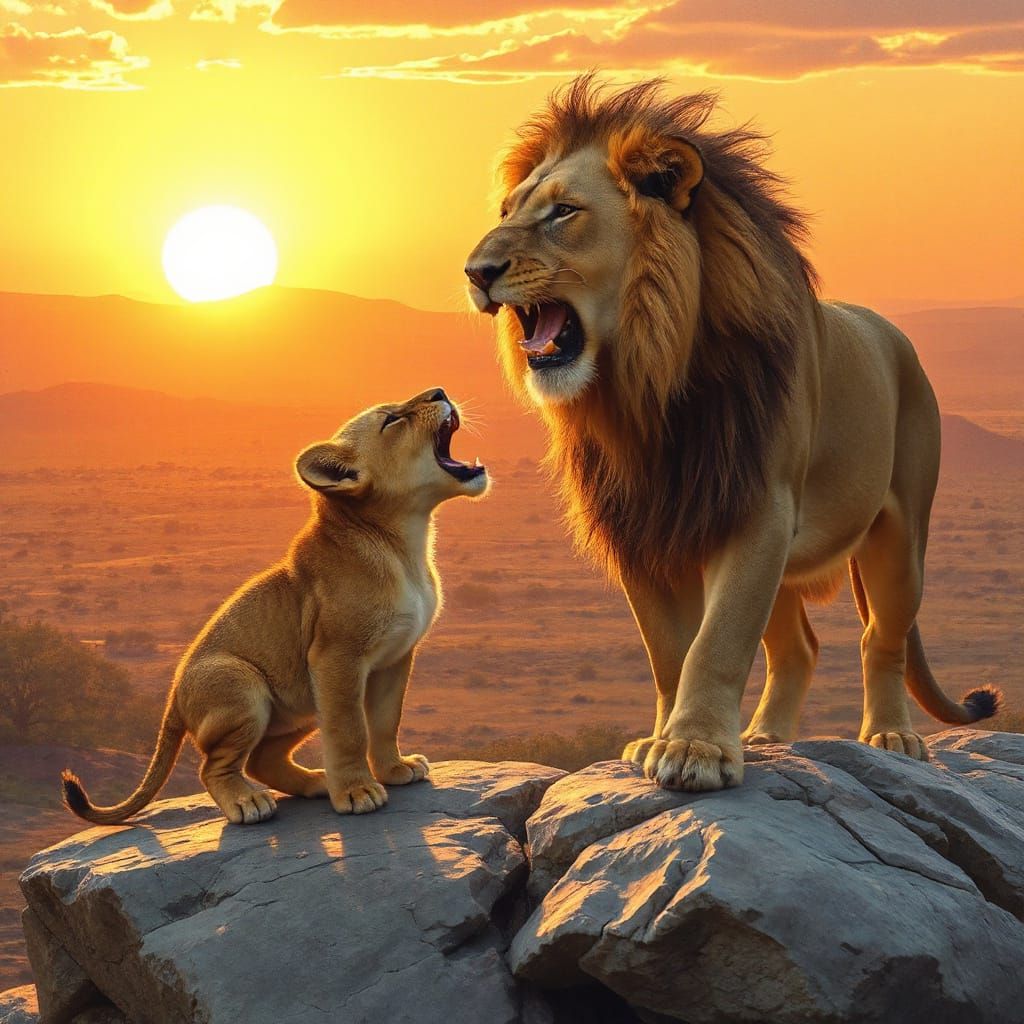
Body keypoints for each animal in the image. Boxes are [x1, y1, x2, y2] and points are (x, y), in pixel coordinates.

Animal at [62, 388, 488, 825]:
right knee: (215, 767)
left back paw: (316, 782)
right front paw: (357, 792)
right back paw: (249, 802)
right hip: (241, 684)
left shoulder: (395, 658)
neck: (405, 544)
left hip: (301, 701)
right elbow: (349, 729)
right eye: (391, 420)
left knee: (261, 759)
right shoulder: (336, 658)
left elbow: (387, 721)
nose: (440, 391)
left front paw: (395, 770)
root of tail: (172, 701)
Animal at [464, 75, 999, 792]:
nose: (475, 271)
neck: (647, 384)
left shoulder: (758, 507)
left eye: (563, 213)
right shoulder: (642, 525)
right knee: (798, 646)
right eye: (506, 209)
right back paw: (767, 737)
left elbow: (716, 642)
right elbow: (671, 650)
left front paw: (696, 749)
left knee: (880, 640)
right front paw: (665, 738)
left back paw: (890, 734)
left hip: (901, 534)